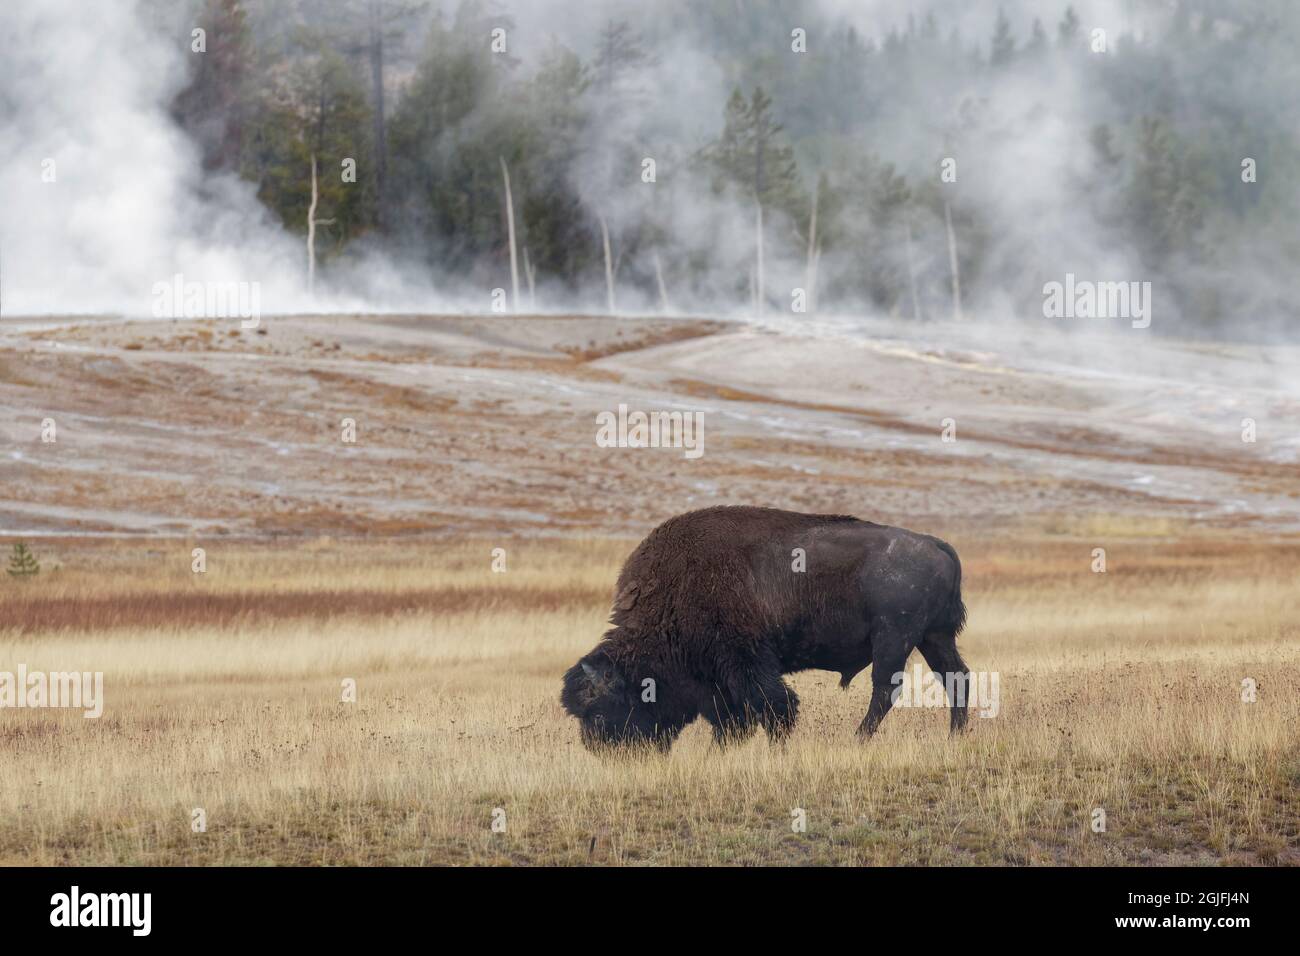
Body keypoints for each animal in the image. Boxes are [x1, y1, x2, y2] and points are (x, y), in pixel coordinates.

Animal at [562, 505, 970, 750]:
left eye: (598, 711)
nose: (602, 751)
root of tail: (937, 545)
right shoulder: (720, 678)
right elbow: (732, 718)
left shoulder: (745, 662)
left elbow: (774, 706)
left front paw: (777, 748)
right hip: (933, 638)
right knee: (955, 677)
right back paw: (955, 736)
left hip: (894, 639)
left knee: (885, 690)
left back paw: (857, 740)